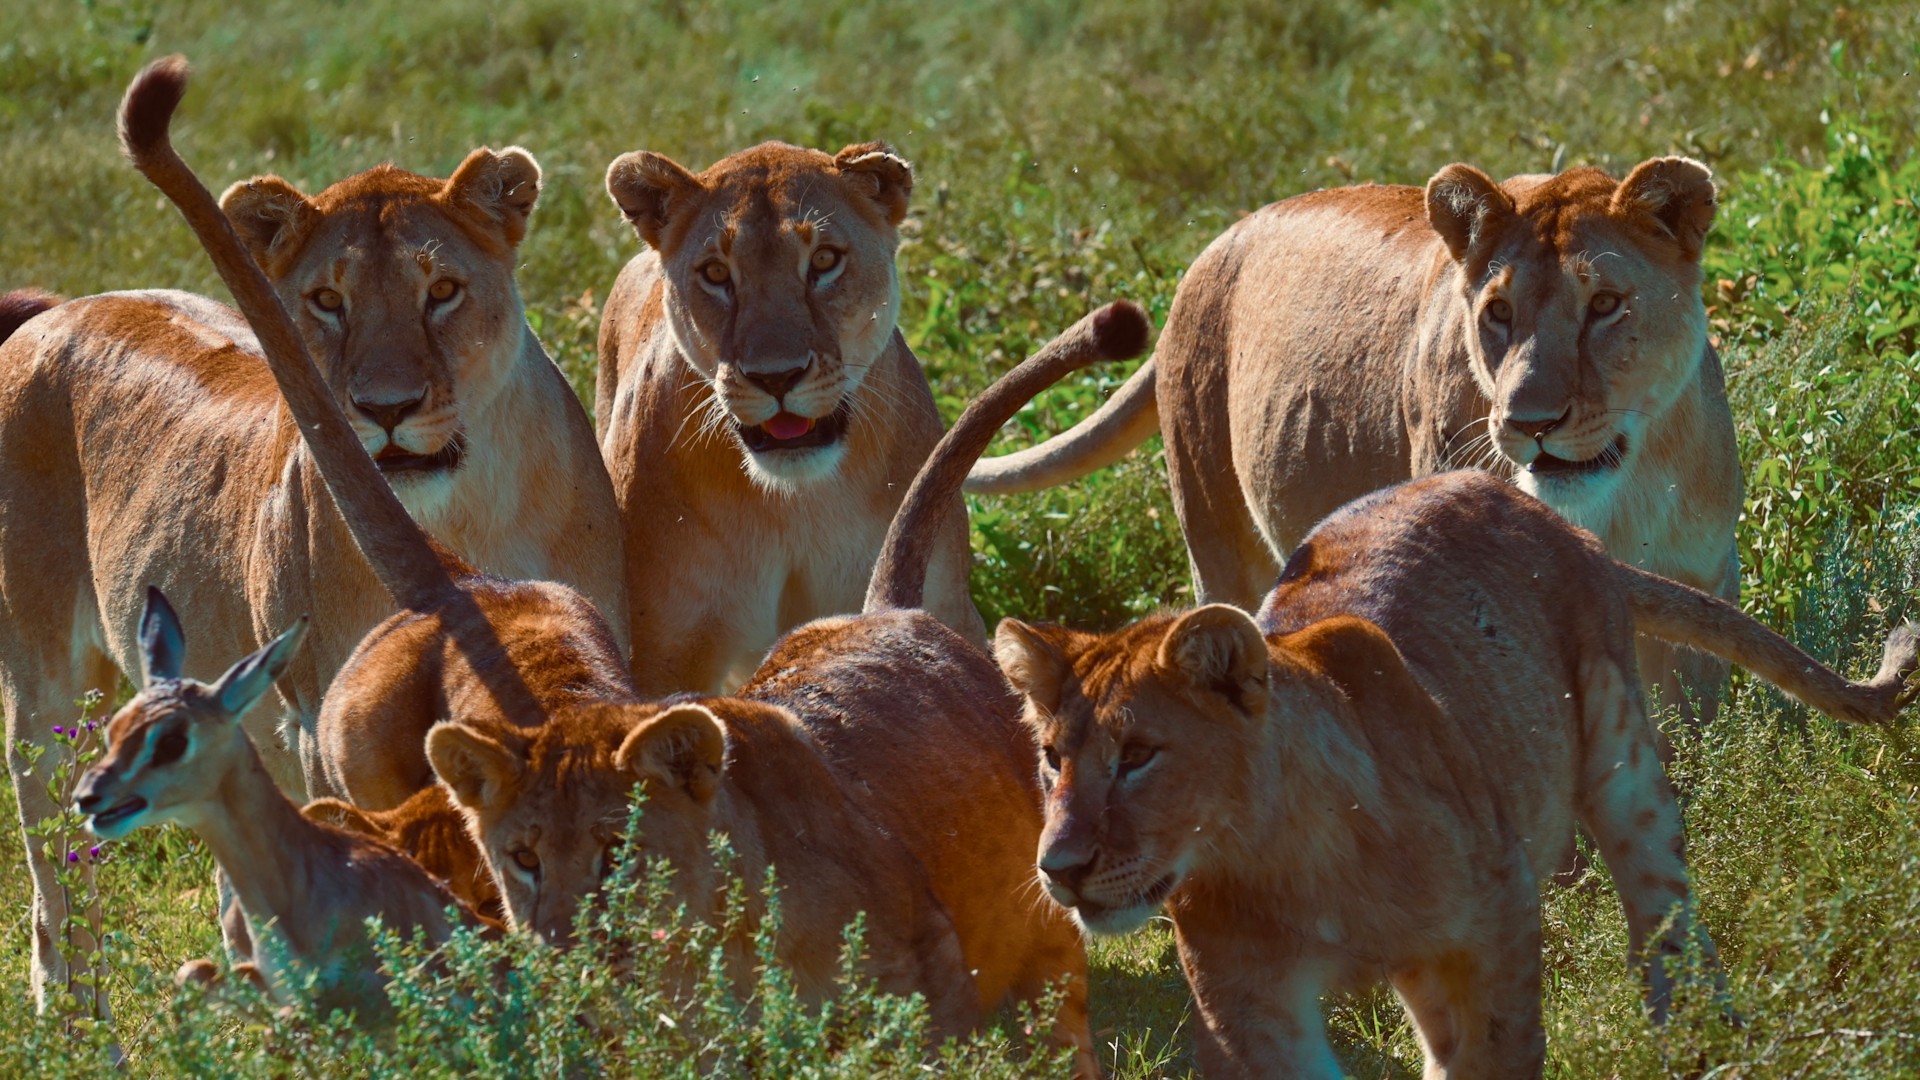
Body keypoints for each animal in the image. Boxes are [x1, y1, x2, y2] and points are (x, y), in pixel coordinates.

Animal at [0, 57, 624, 1011]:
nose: (385, 409)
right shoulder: (315, 741)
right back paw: (77, 1021)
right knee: (56, 889)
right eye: (327, 301)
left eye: (442, 291)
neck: (458, 520)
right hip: (46, 701)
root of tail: (52, 315)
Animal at [428, 302, 1150, 1077]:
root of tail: (885, 610)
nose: (567, 956)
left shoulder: (930, 977)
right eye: (523, 860)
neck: (701, 960)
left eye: (617, 856)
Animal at [595, 139, 983, 693]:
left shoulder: (942, 603)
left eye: (824, 260)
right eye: (716, 273)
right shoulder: (666, 647)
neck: (794, 503)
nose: (776, 377)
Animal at [968, 158, 1740, 720]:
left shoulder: (1701, 582)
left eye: (1605, 304)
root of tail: (1204, 254)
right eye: (1498, 313)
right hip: (1214, 537)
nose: (1530, 422)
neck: (1620, 491)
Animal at [992, 470, 1917, 1078]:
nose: (1057, 867)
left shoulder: (1498, 919)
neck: (1284, 860)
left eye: (1138, 756)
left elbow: (1502, 1053)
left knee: (1667, 921)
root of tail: (1535, 506)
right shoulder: (1252, 1004)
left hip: (1621, 763)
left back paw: (1701, 1039)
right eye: (1052, 758)